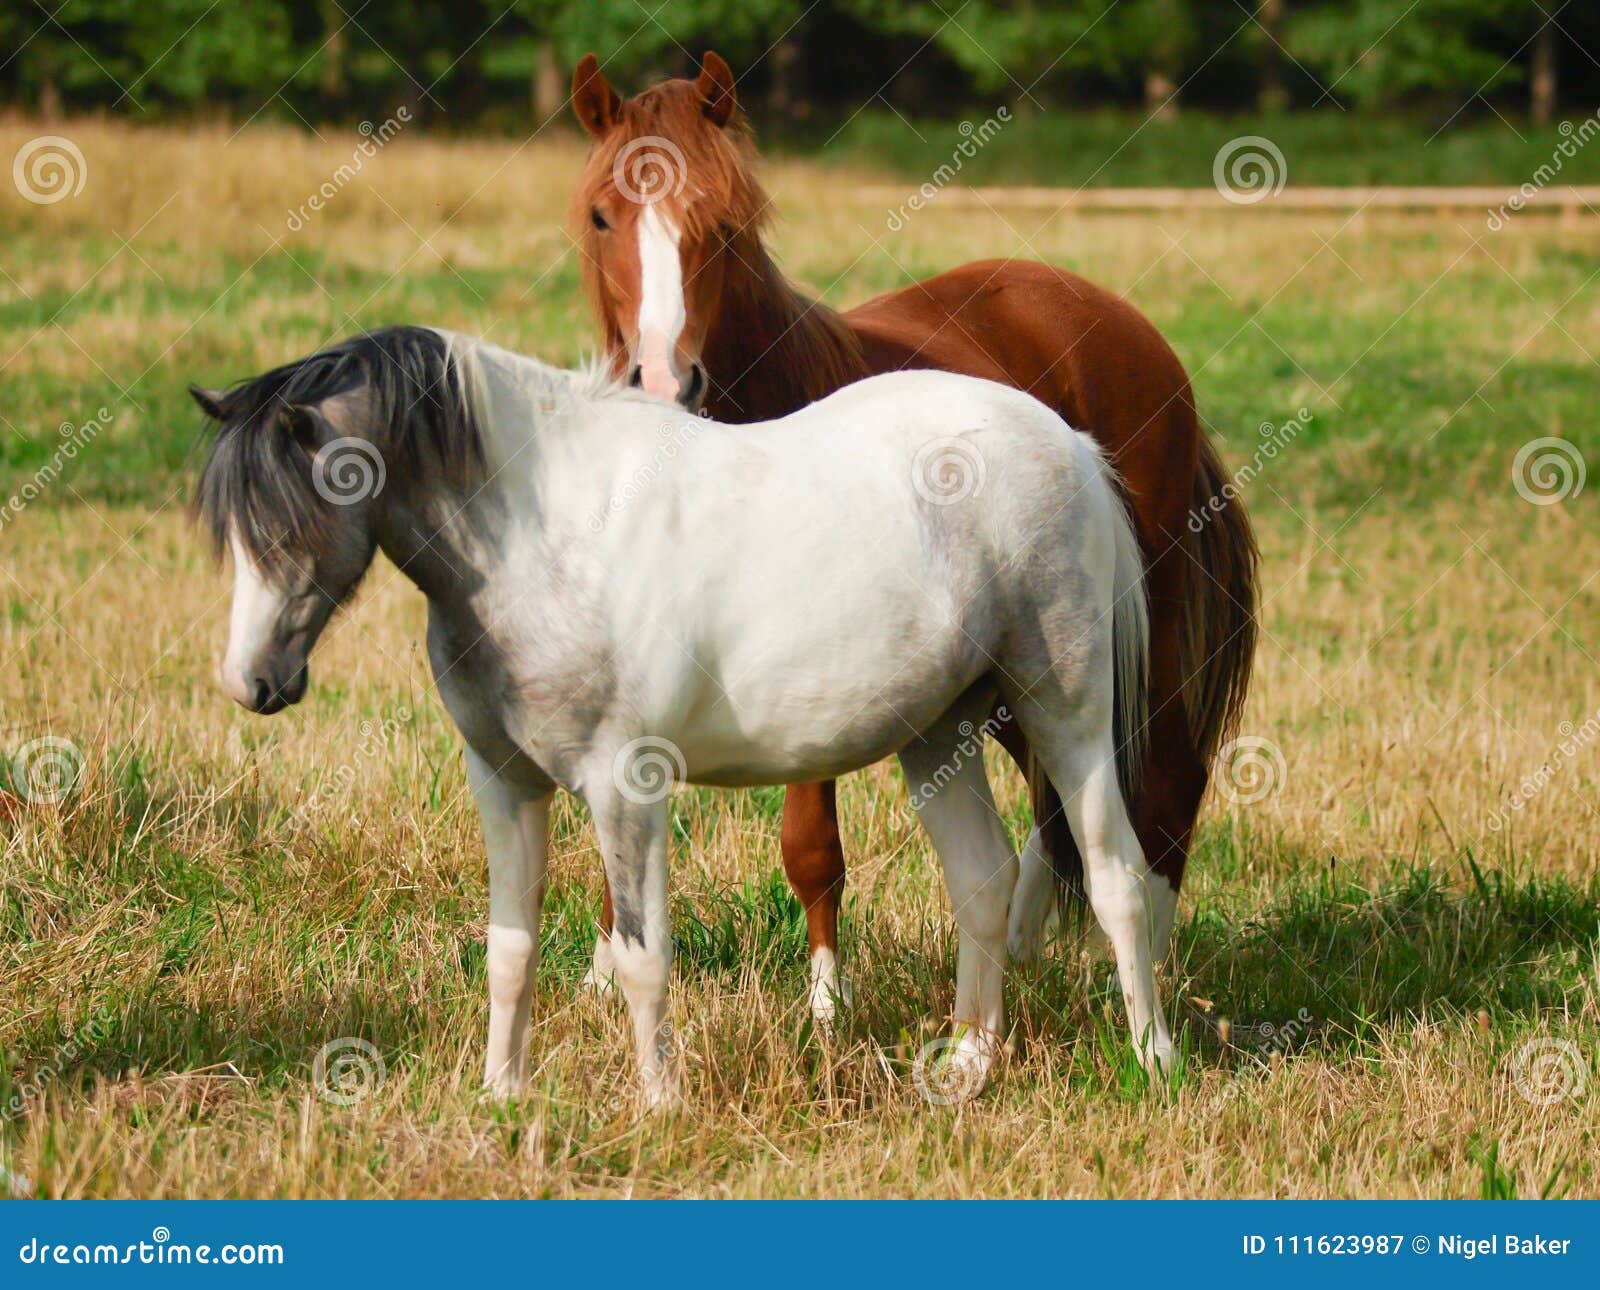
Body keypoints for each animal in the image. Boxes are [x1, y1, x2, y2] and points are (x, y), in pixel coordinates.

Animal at [191, 325, 1171, 1104]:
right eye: (236, 532)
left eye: (287, 528)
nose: (249, 682)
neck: (548, 534)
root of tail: (1068, 442)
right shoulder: (505, 784)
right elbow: (510, 948)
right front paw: (501, 1096)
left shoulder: (629, 789)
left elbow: (639, 955)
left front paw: (660, 1102)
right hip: (938, 734)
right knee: (982, 882)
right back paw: (967, 1065)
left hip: (1066, 715)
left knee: (1118, 879)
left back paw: (1152, 1062)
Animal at [569, 52, 1259, 1022]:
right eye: (603, 216)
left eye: (725, 224)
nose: (667, 381)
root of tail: (1125, 327)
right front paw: (603, 978)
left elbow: (810, 842)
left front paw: (827, 1009)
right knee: (1056, 801)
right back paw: (1022, 950)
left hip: (1127, 631)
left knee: (1164, 775)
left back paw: (1139, 975)